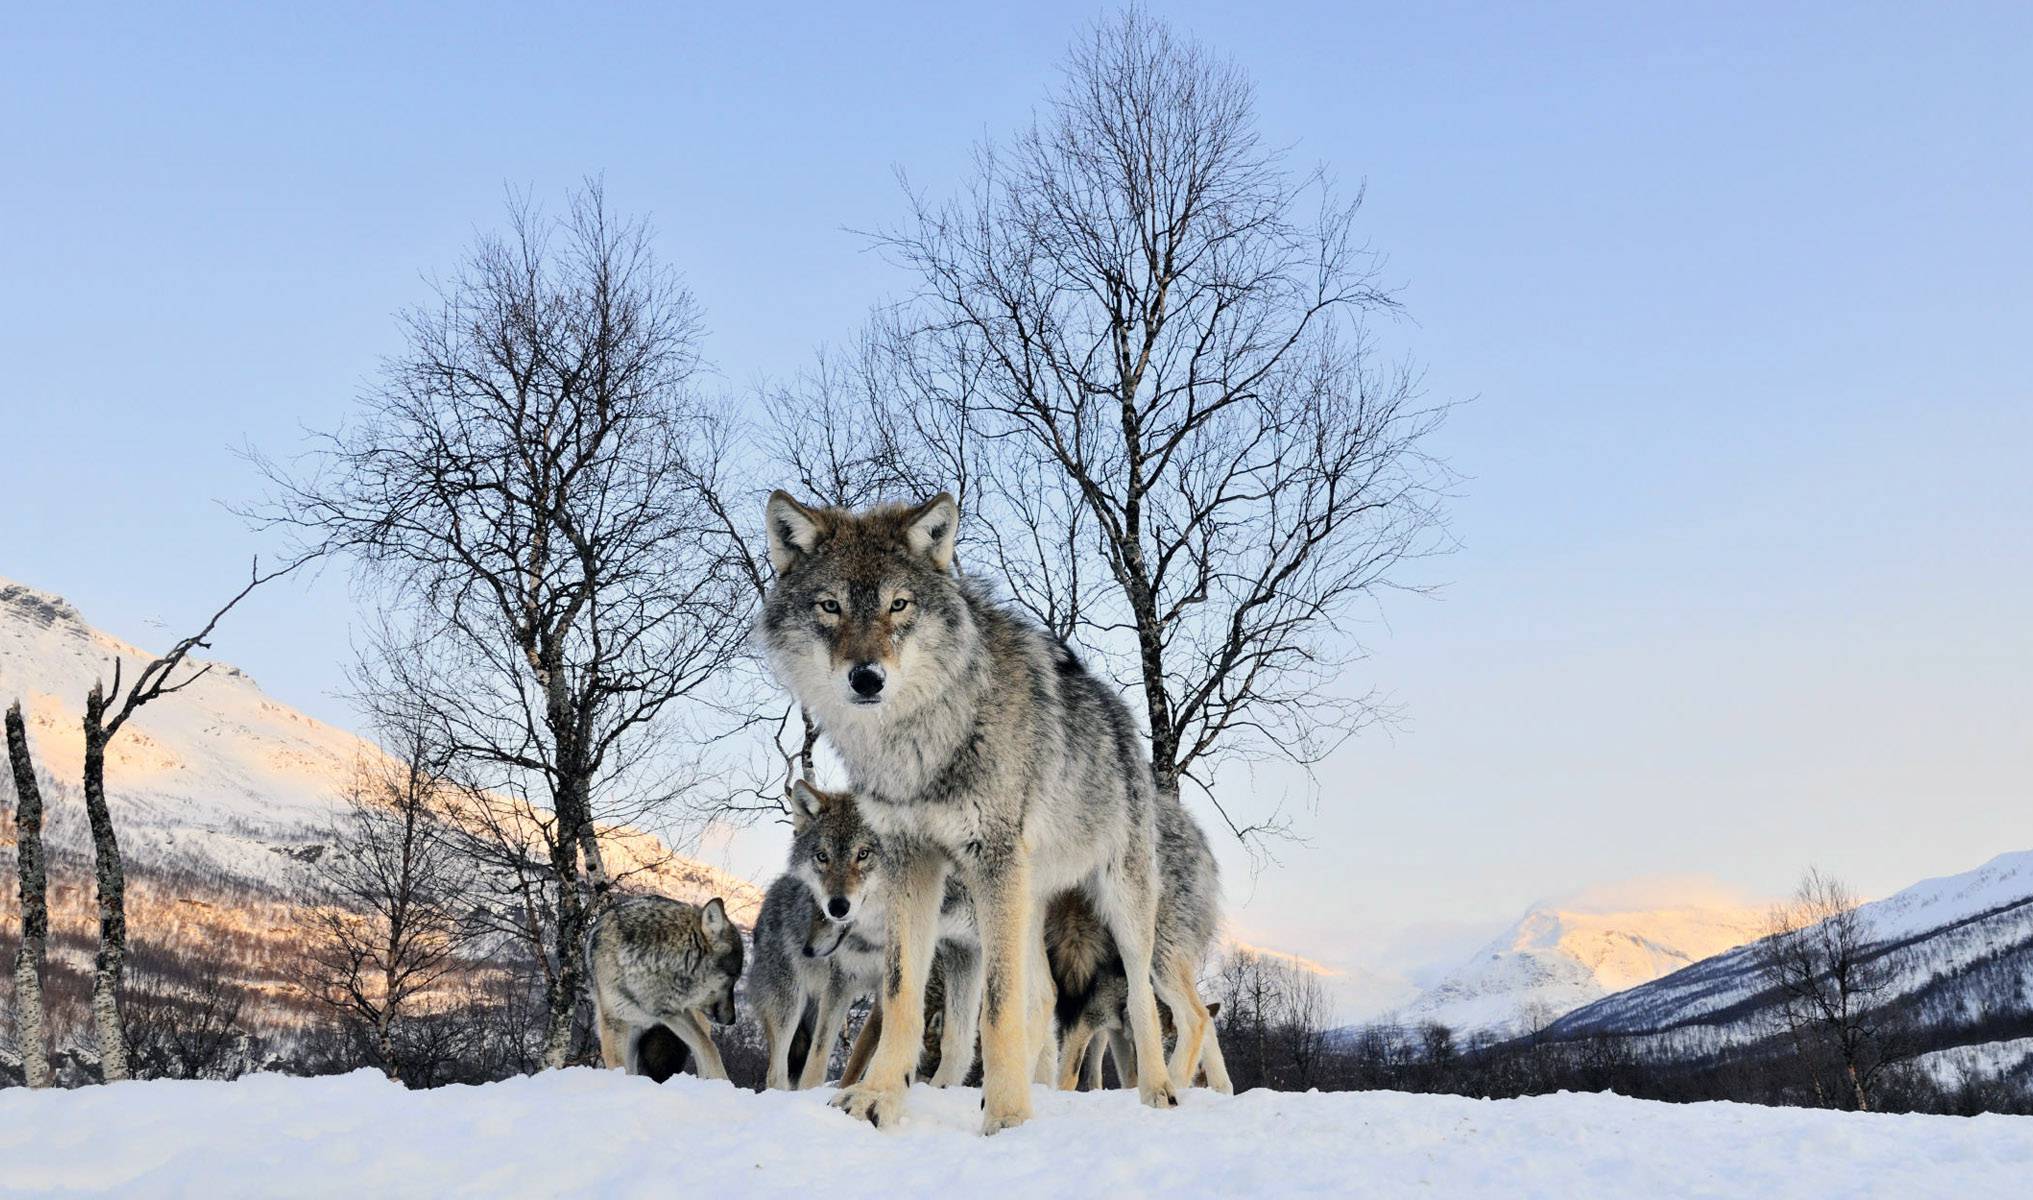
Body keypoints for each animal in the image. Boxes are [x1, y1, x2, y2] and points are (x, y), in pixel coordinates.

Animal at [584, 894, 744, 1082]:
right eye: (732, 979)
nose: (732, 1020)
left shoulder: (675, 1012)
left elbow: (709, 1048)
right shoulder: (615, 1024)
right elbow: (620, 1068)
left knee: (703, 1046)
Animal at [750, 779, 982, 1091]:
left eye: (863, 854)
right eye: (822, 857)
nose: (837, 907)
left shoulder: (885, 999)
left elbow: (858, 1061)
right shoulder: (841, 983)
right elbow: (819, 1057)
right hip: (788, 1005)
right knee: (775, 1071)